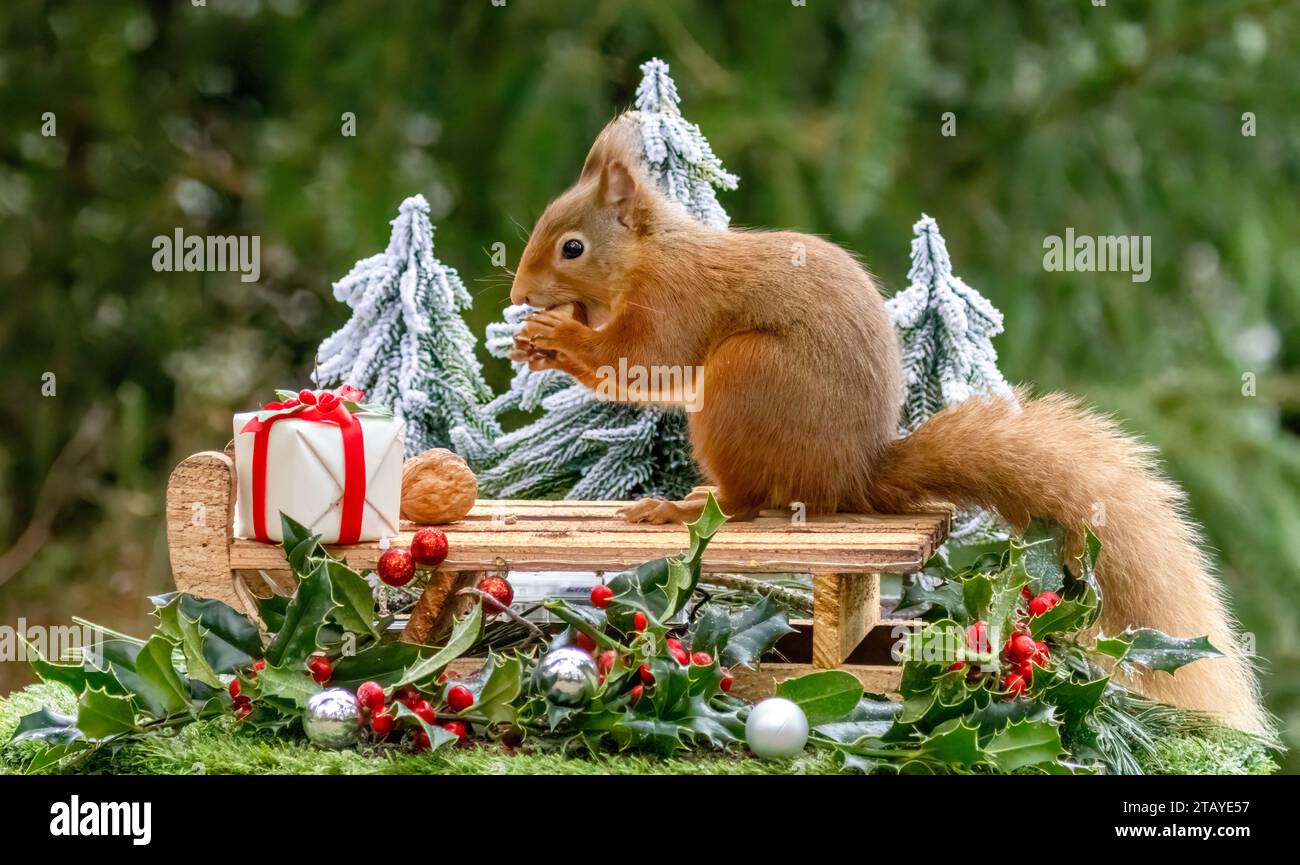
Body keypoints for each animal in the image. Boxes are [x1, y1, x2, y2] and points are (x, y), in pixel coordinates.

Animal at [508, 115, 1271, 736]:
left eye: (572, 248)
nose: (518, 294)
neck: (648, 253)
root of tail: (850, 480)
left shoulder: (673, 302)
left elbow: (641, 361)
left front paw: (559, 339)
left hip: (742, 383)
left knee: (748, 503)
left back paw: (684, 507)